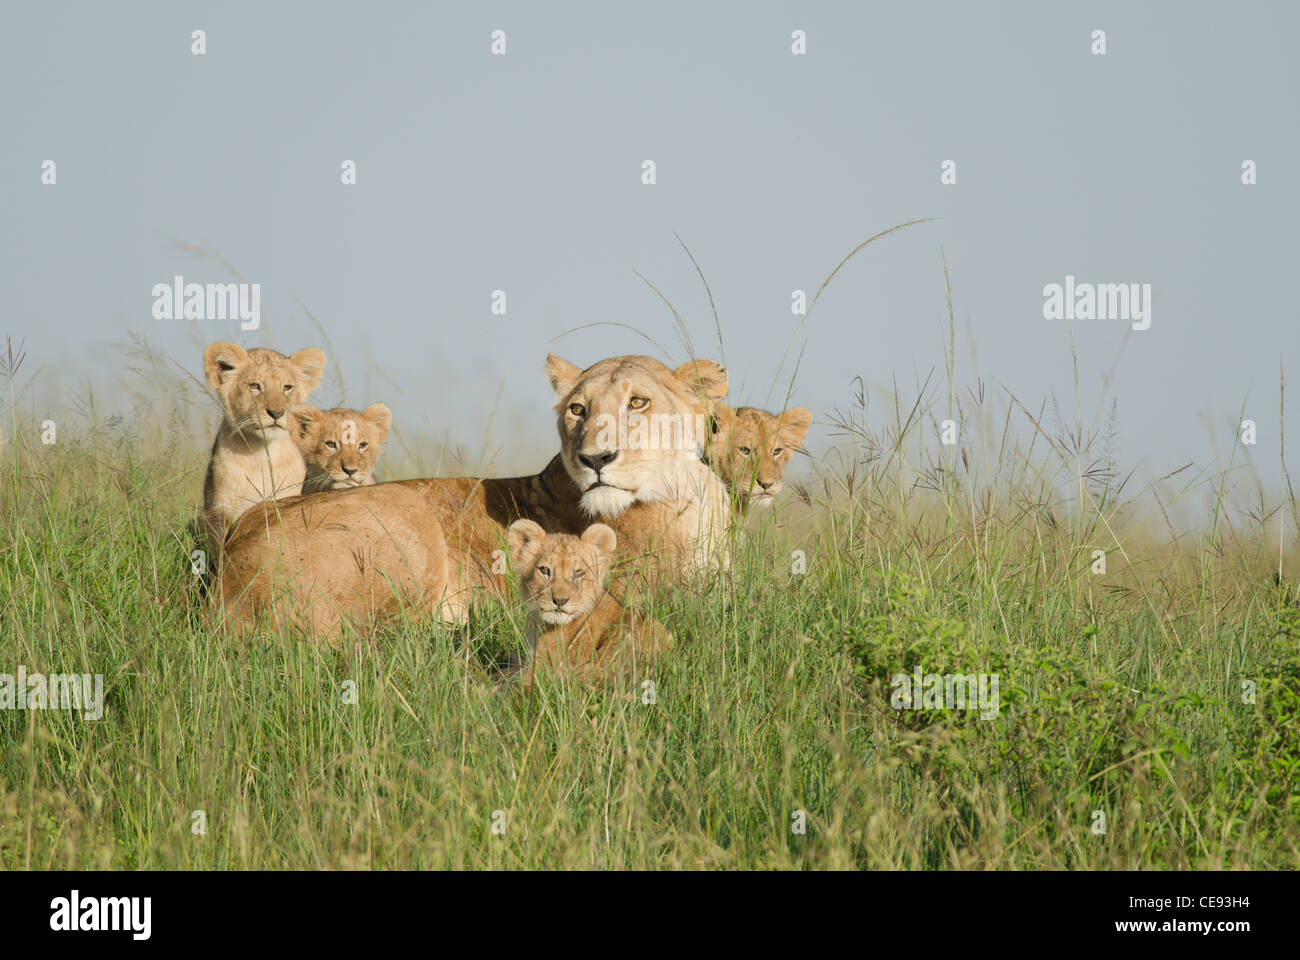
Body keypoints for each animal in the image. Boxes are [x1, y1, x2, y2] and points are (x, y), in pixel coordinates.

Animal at [218, 353, 731, 635]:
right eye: (577, 410)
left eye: (638, 402)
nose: (595, 460)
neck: (690, 490)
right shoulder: (653, 597)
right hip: (409, 515)